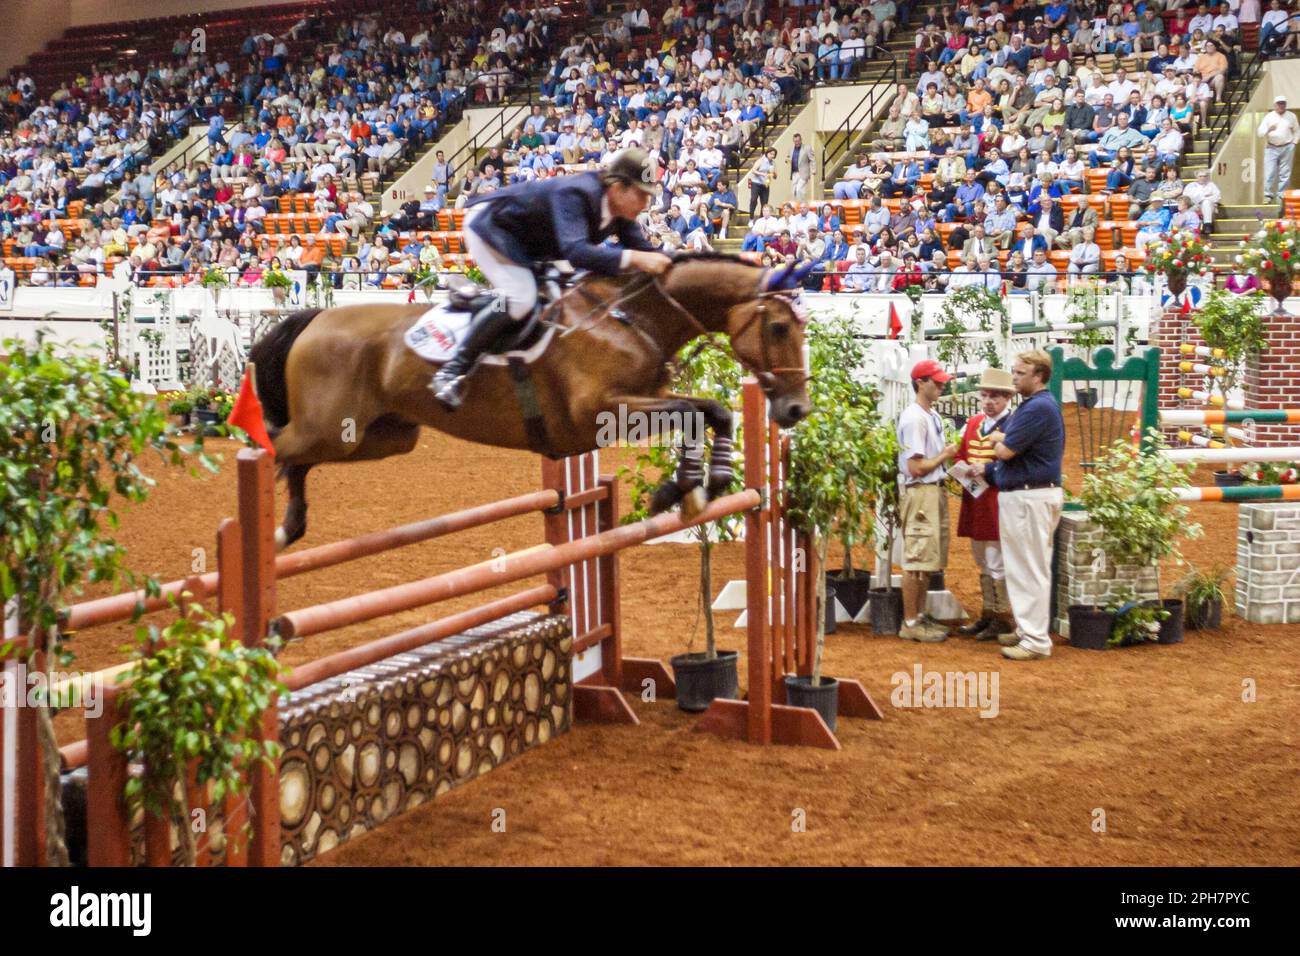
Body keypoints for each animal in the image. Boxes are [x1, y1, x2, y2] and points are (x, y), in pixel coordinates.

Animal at [248, 254, 813, 548]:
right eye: (779, 327)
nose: (796, 411)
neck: (633, 320)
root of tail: (316, 318)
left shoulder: (640, 402)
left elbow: (710, 412)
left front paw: (698, 487)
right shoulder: (600, 413)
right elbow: (699, 413)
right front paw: (685, 489)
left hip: (379, 437)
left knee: (298, 460)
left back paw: (289, 528)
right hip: (331, 427)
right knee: (275, 446)